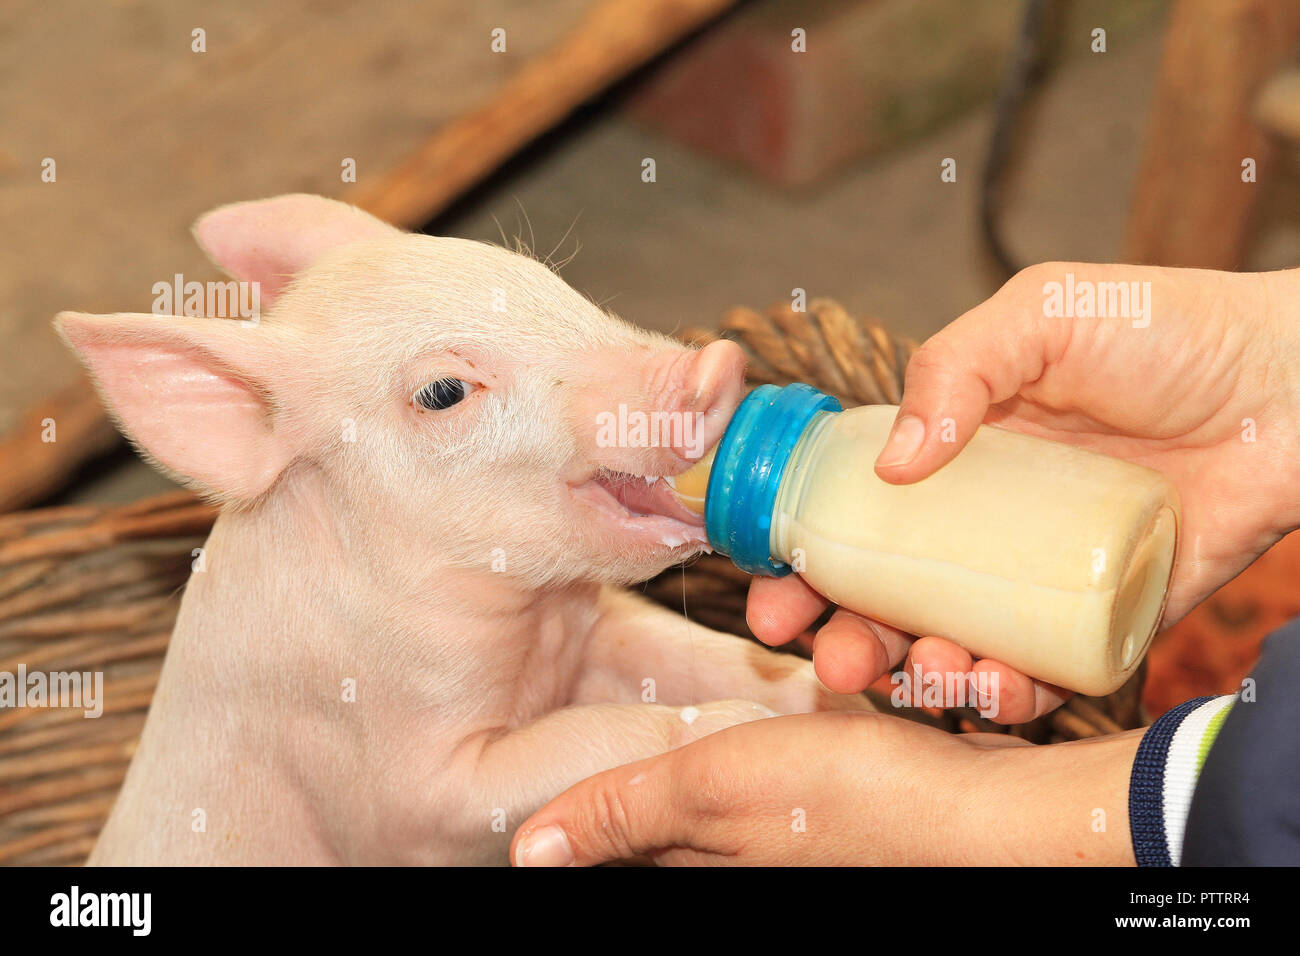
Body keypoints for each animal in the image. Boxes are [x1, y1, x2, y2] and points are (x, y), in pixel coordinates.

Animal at [55, 194, 874, 865]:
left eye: (549, 286)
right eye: (442, 392)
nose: (715, 366)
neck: (527, 637)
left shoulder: (598, 628)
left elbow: (700, 651)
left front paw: (832, 702)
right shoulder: (399, 785)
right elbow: (578, 739)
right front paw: (739, 723)